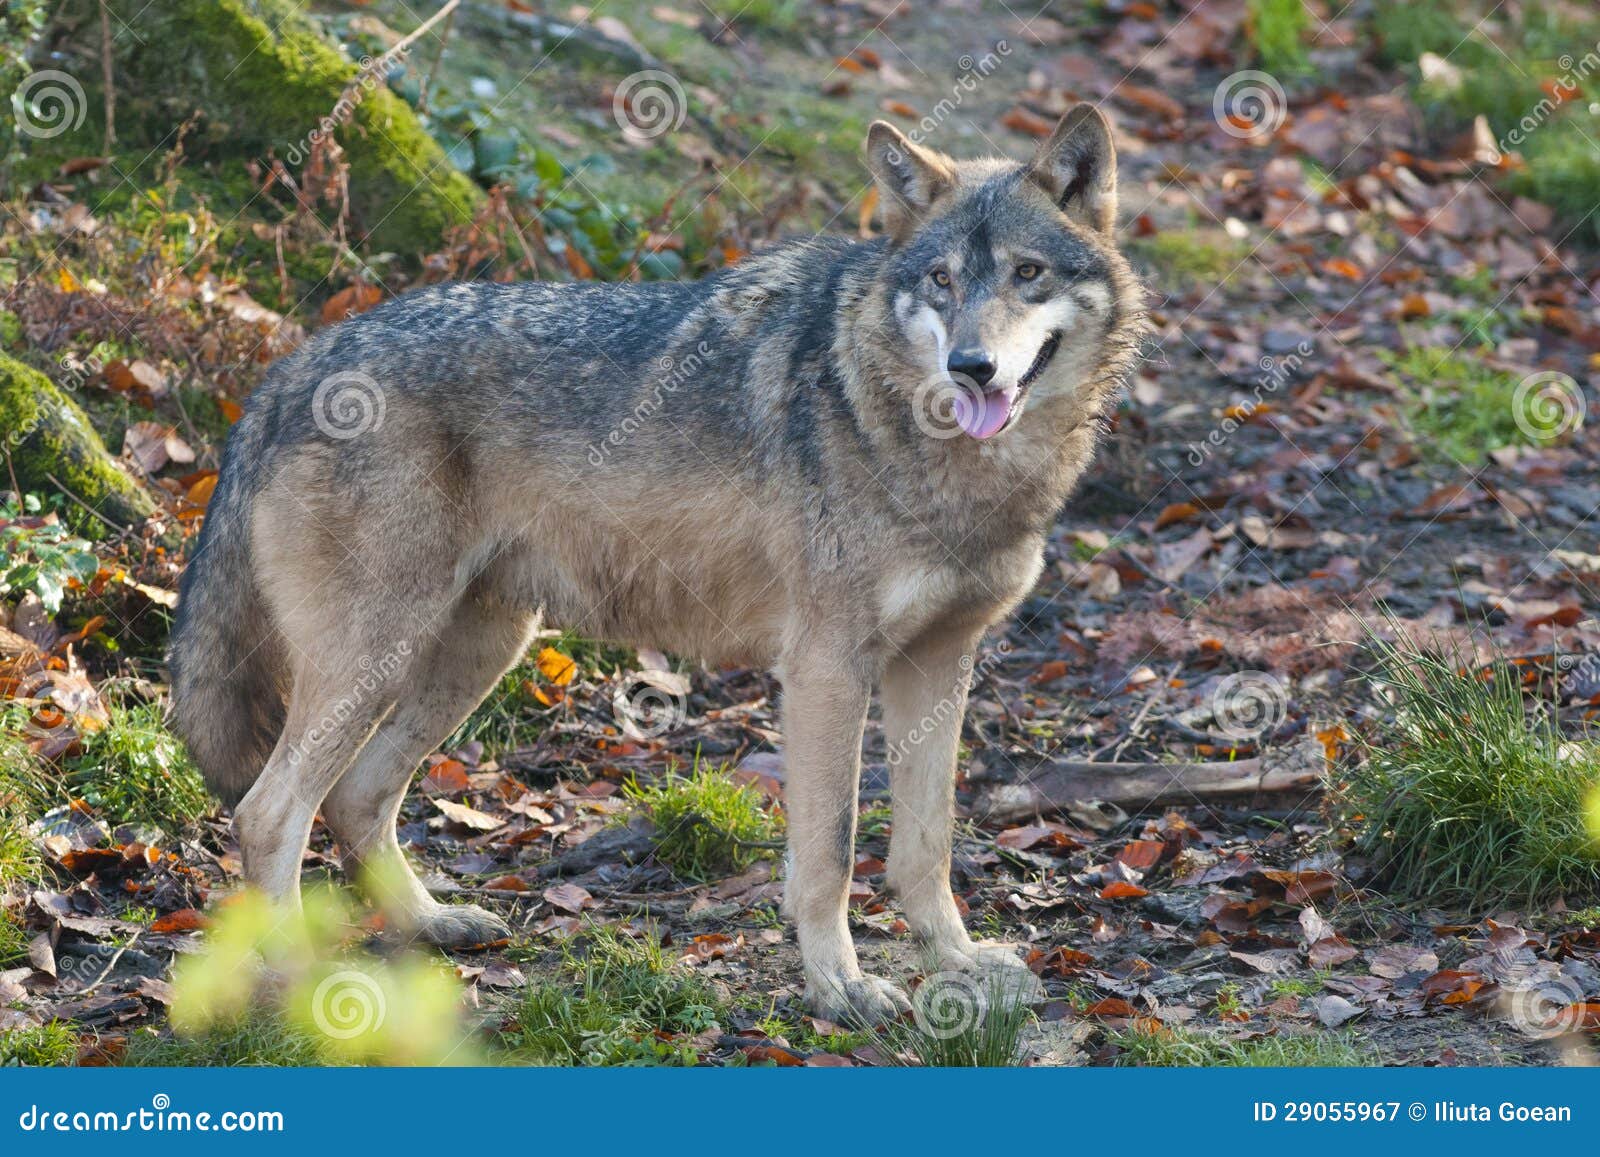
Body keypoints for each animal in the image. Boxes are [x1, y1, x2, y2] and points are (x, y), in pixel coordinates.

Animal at [168, 105, 1145, 1023]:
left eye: (1027, 273)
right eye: (941, 280)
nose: (971, 366)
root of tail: (290, 365)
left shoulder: (940, 661)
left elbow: (928, 842)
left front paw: (959, 960)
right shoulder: (827, 667)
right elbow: (830, 850)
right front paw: (841, 989)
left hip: (476, 653)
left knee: (357, 798)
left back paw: (432, 922)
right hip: (380, 658)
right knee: (270, 812)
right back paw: (301, 985)